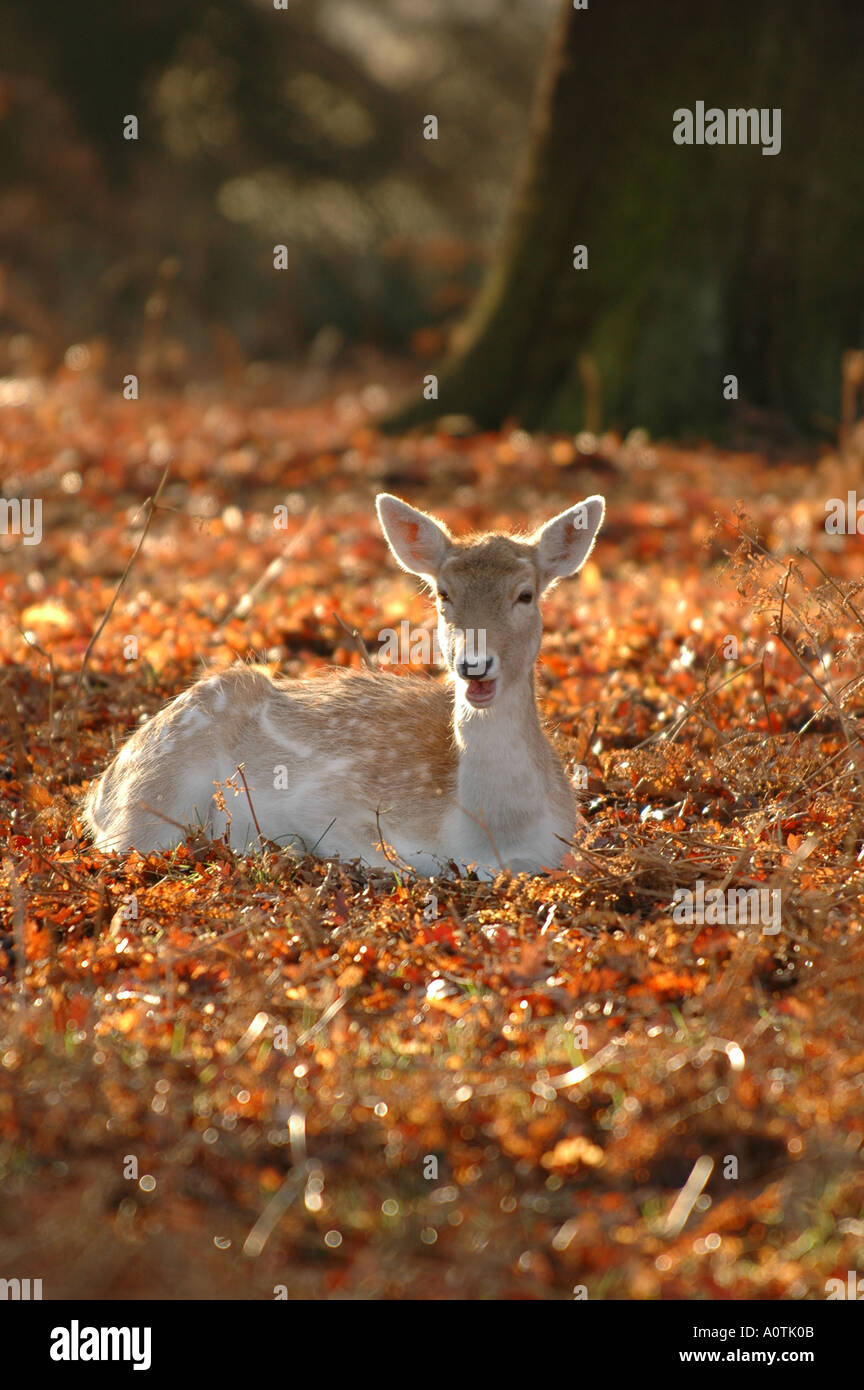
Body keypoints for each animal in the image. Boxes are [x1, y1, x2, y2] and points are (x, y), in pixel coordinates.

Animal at [83, 493, 606, 878]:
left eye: (526, 594)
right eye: (443, 593)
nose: (473, 664)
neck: (490, 833)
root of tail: (96, 794)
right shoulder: (330, 805)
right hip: (153, 793)